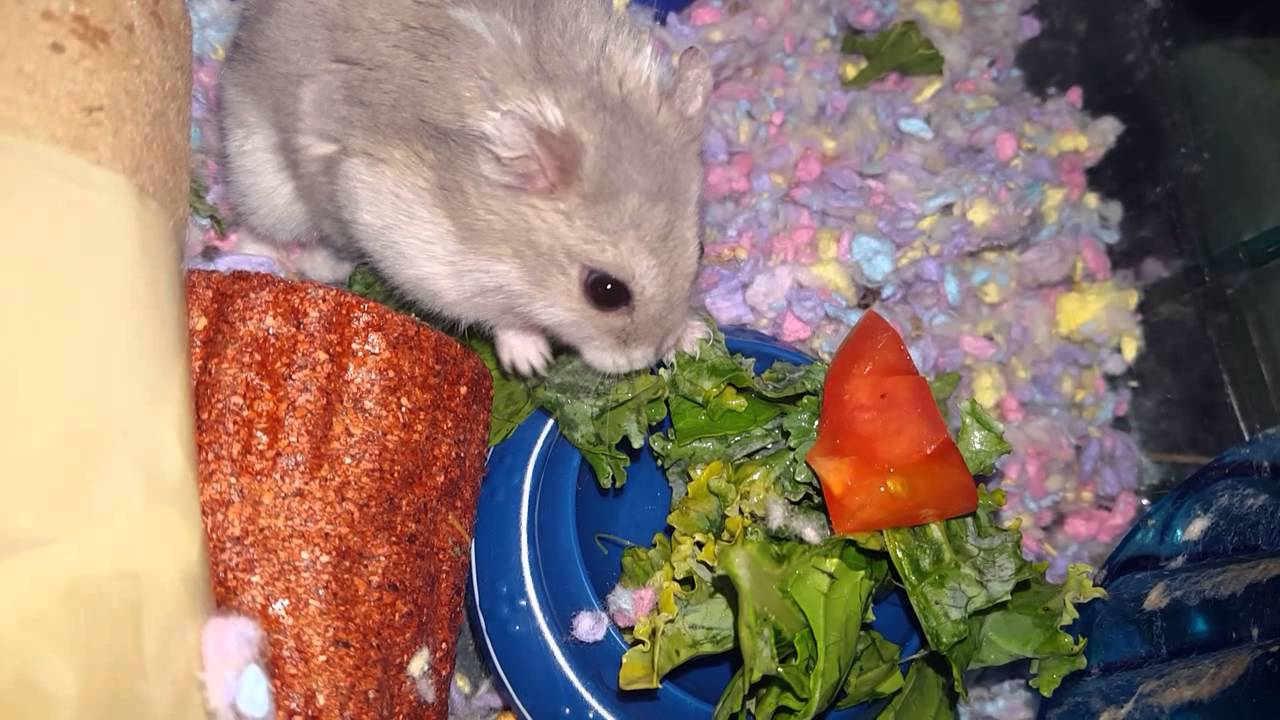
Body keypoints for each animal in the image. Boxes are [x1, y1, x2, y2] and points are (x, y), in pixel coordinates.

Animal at [219, 0, 714, 376]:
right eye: (606, 291)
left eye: (702, 249)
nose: (648, 357)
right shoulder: (421, 253)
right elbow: (496, 314)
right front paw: (531, 362)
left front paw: (694, 337)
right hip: (263, 177)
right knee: (262, 227)